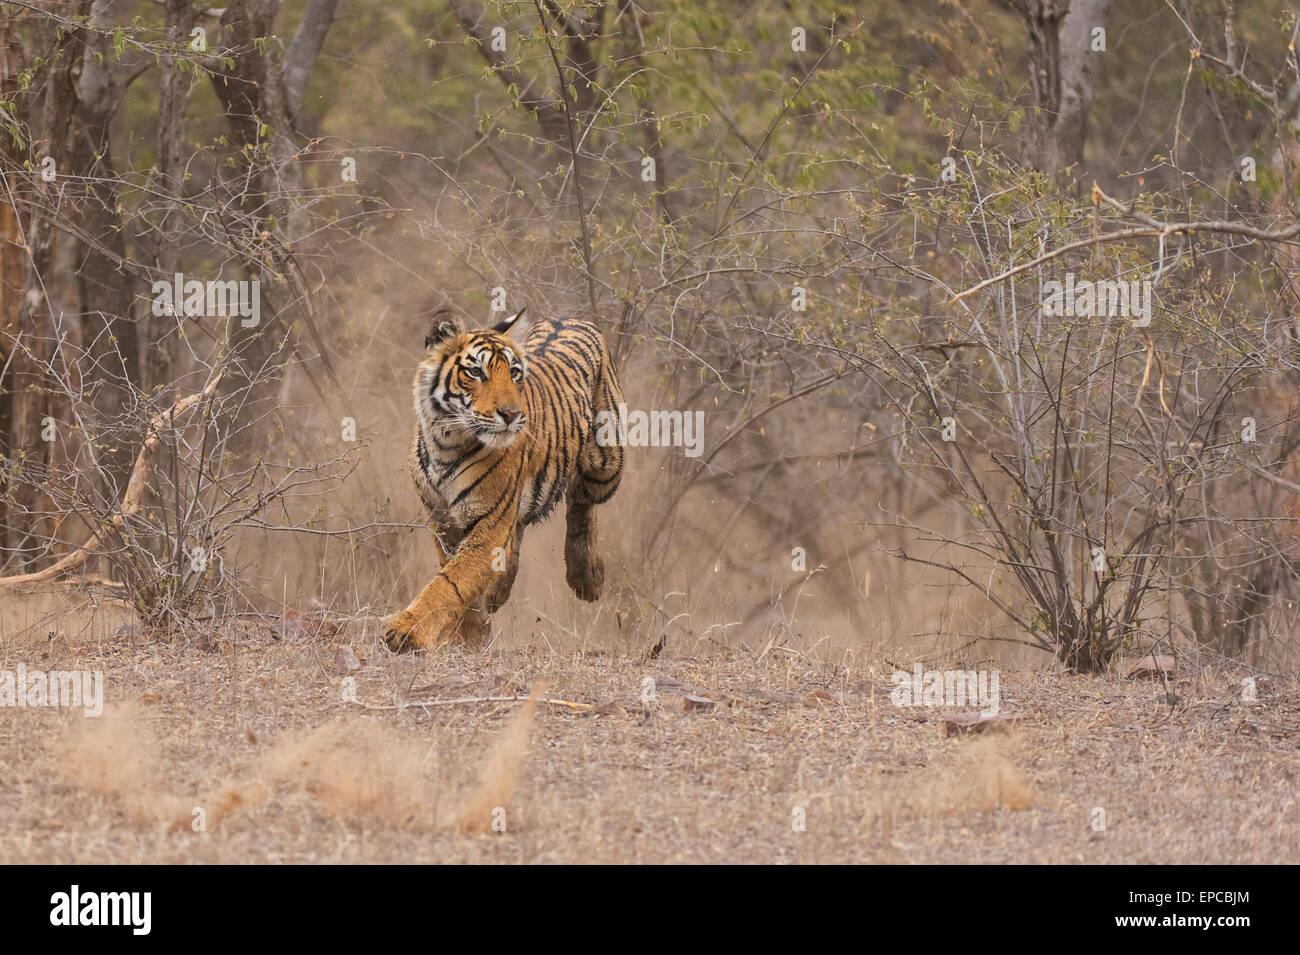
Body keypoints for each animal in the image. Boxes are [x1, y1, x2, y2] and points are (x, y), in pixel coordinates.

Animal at [383, 307, 625, 652]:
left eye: (514, 373)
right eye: (476, 372)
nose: (512, 414)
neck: (446, 442)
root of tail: (570, 317)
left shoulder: (489, 521)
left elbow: (451, 582)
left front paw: (406, 631)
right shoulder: (443, 519)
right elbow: (458, 577)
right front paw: (468, 634)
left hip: (605, 465)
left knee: (582, 500)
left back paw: (586, 575)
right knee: (521, 532)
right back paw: (501, 590)